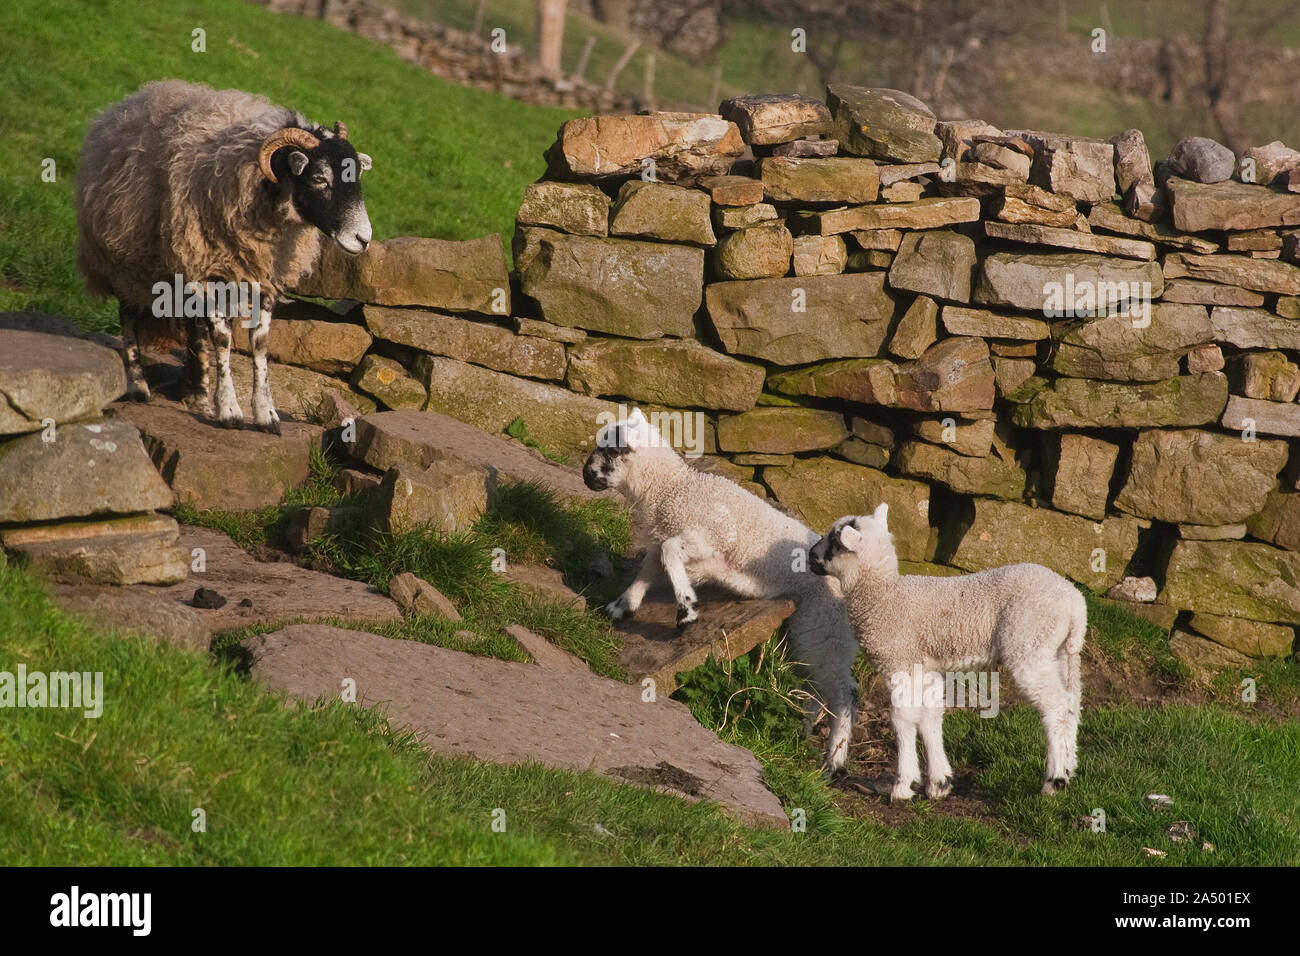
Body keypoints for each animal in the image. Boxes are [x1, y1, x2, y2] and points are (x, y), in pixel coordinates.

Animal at [75, 80, 374, 433]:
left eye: (356, 178)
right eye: (319, 178)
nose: (363, 239)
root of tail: (132, 100)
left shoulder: (263, 278)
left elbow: (259, 344)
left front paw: (266, 415)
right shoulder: (209, 271)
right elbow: (221, 338)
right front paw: (230, 411)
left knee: (191, 327)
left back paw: (198, 394)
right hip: (126, 260)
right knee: (130, 316)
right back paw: (139, 386)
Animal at [582, 407, 860, 771]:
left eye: (612, 450)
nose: (585, 475)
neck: (671, 489)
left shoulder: (712, 539)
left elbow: (667, 553)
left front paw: (687, 611)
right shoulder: (670, 534)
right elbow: (651, 563)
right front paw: (623, 606)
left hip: (828, 628)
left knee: (844, 691)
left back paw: (835, 758)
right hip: (809, 629)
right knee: (815, 686)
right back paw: (803, 731)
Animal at [808, 504, 1086, 800]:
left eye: (835, 541)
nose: (810, 555)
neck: (884, 597)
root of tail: (1076, 605)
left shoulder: (900, 662)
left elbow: (902, 720)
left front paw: (903, 786)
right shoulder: (926, 669)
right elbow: (930, 719)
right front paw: (940, 784)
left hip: (1028, 642)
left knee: (1056, 706)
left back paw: (1054, 780)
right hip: (1057, 651)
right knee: (1071, 705)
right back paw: (1068, 770)